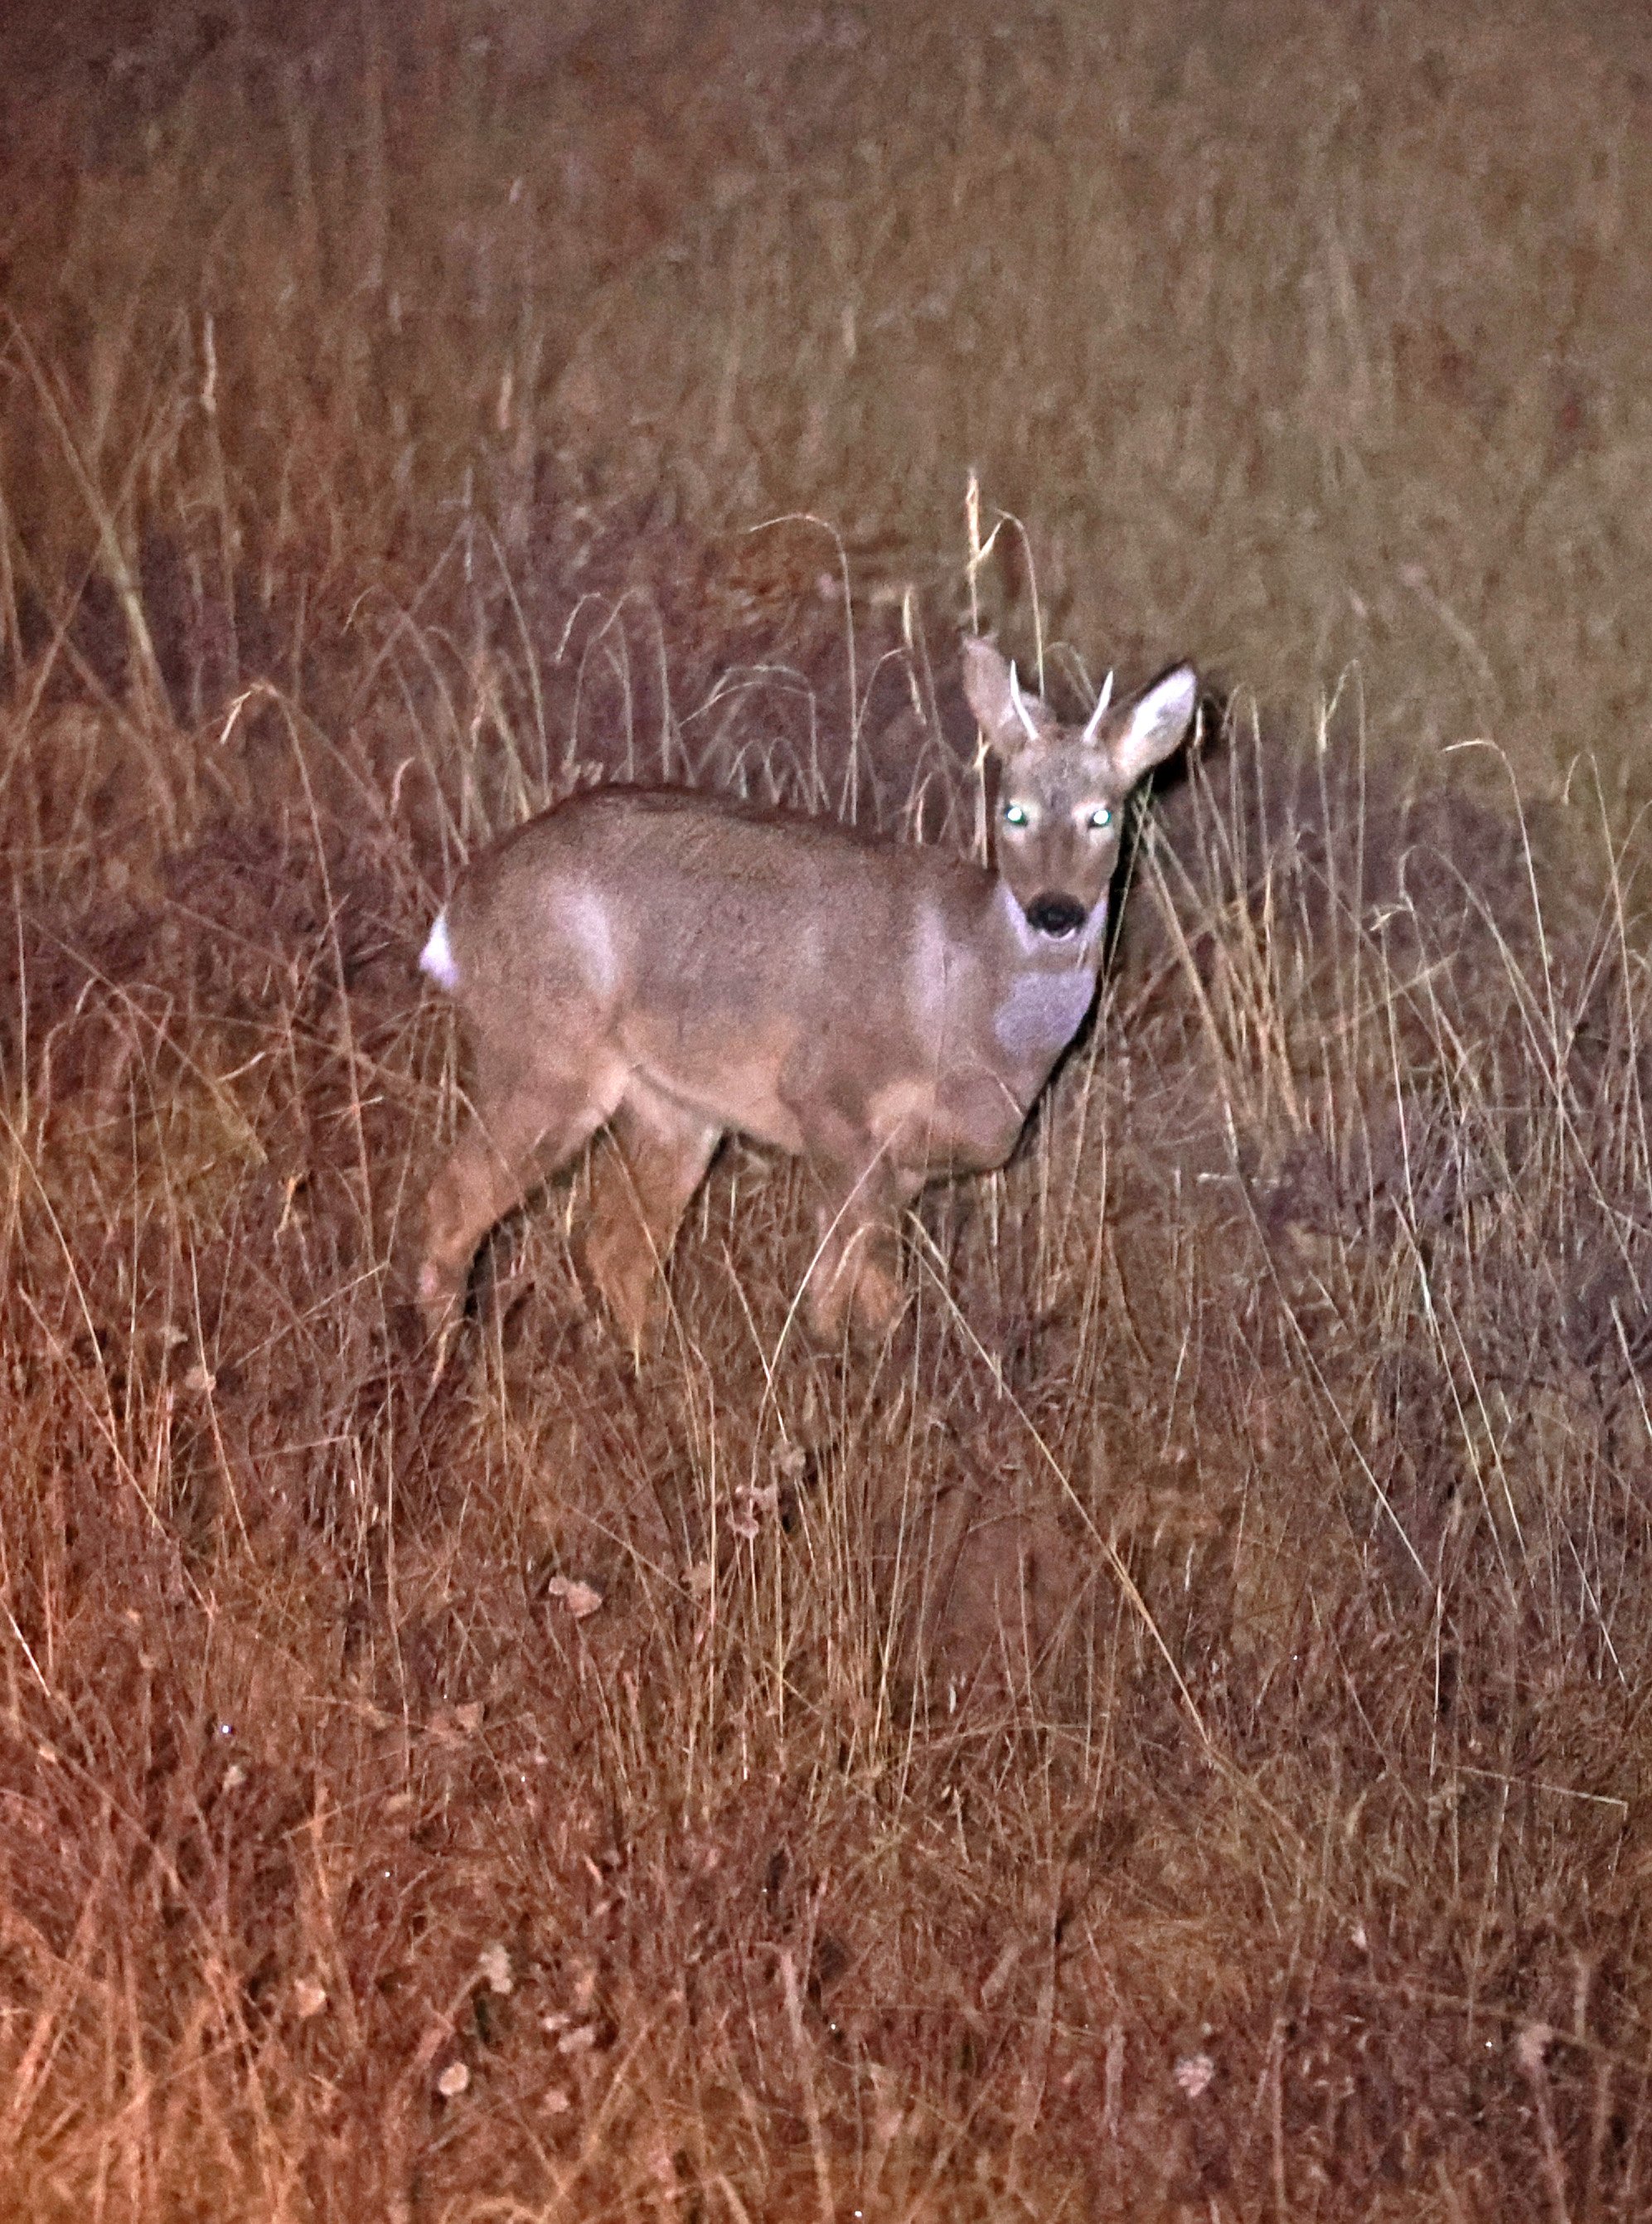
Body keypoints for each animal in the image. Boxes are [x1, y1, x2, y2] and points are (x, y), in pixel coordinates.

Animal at [414, 638, 1196, 1354]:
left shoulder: (905, 1166)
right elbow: (849, 1285)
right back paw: (442, 1364)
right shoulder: (829, 1098)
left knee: (617, 1247)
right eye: (1013, 812)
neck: (969, 1007)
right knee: (452, 1205)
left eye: (1102, 816)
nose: (1054, 911)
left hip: (674, 1106)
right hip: (548, 1055)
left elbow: (866, 1289)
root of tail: (459, 911)